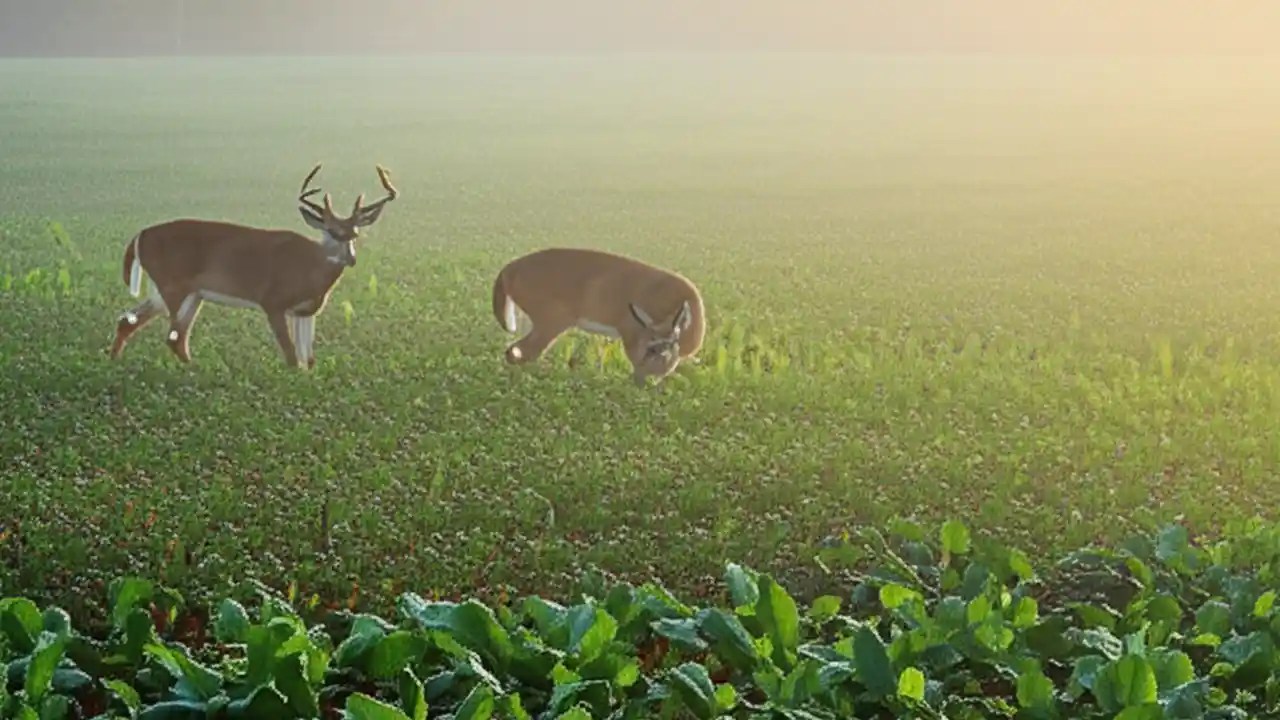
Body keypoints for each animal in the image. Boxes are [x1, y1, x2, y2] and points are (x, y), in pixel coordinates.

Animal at [109, 164, 399, 369]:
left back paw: (117, 362)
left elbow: (308, 360)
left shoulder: (306, 311)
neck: (310, 270)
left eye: (355, 234)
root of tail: (139, 236)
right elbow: (291, 356)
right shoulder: (273, 301)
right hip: (173, 286)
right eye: (331, 232)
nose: (350, 259)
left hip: (184, 292)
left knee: (134, 323)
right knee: (174, 336)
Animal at [491, 247, 706, 385]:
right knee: (522, 352)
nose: (649, 378)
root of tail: (508, 270)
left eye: (669, 344)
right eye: (650, 348)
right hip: (552, 318)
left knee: (515, 351)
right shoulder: (630, 330)